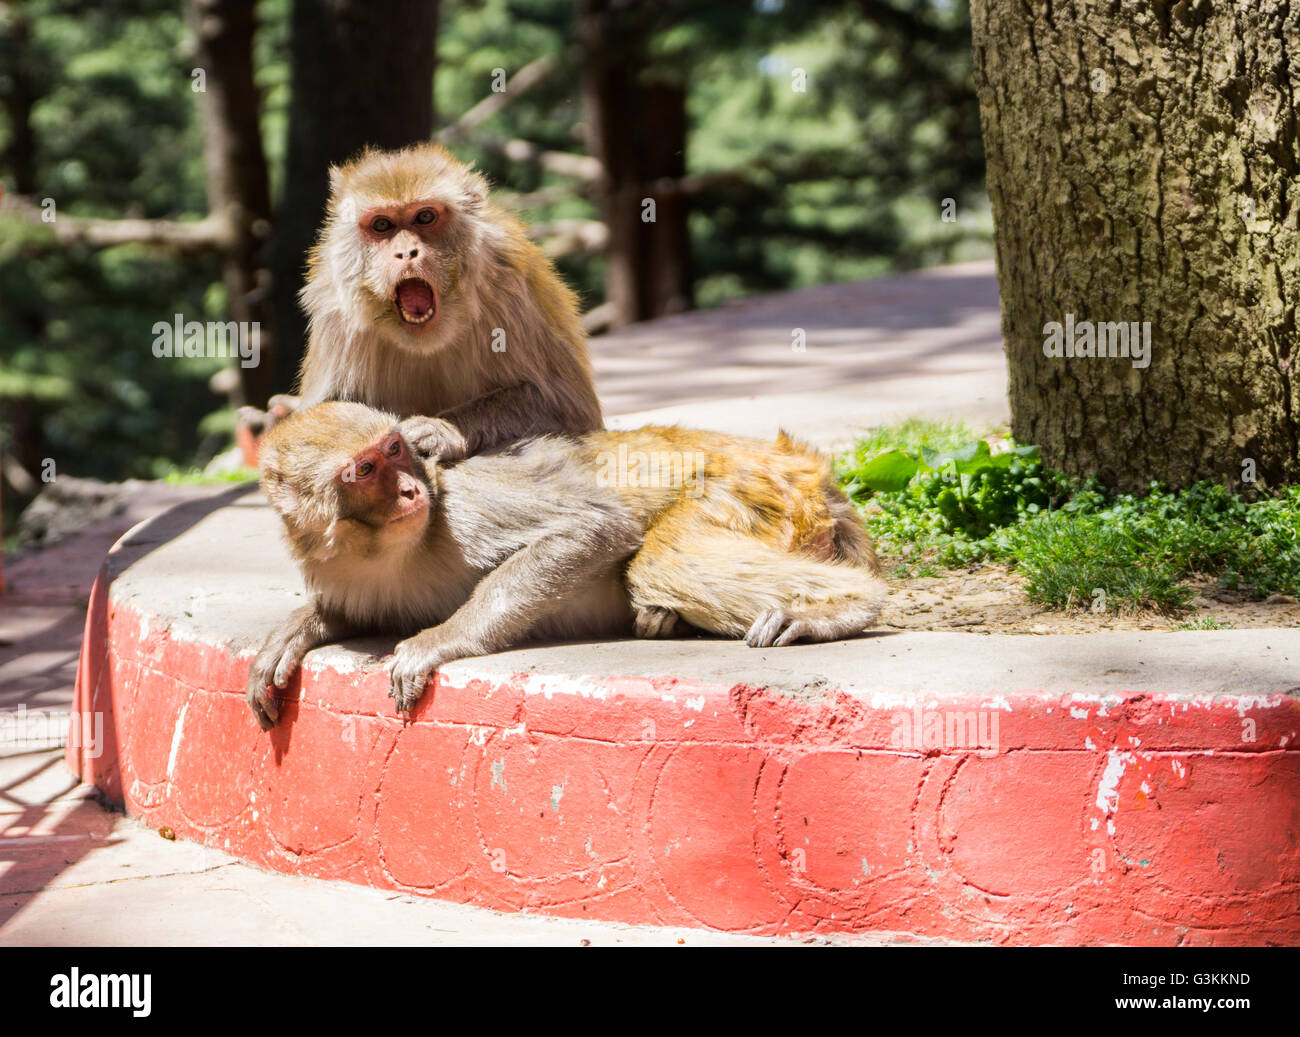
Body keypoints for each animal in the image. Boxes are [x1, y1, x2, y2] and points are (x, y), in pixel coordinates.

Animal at [245, 402, 886, 730]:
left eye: (395, 450)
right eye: (364, 470)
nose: (409, 491)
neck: (385, 549)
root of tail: (802, 464)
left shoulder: (462, 509)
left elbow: (591, 528)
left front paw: (438, 642)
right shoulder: (340, 569)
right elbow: (351, 612)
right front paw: (291, 635)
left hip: (752, 489)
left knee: (656, 560)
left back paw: (843, 607)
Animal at [266, 142, 603, 458]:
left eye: (425, 216)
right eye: (382, 225)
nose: (406, 253)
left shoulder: (509, 285)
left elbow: (564, 404)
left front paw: (441, 430)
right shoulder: (336, 314)